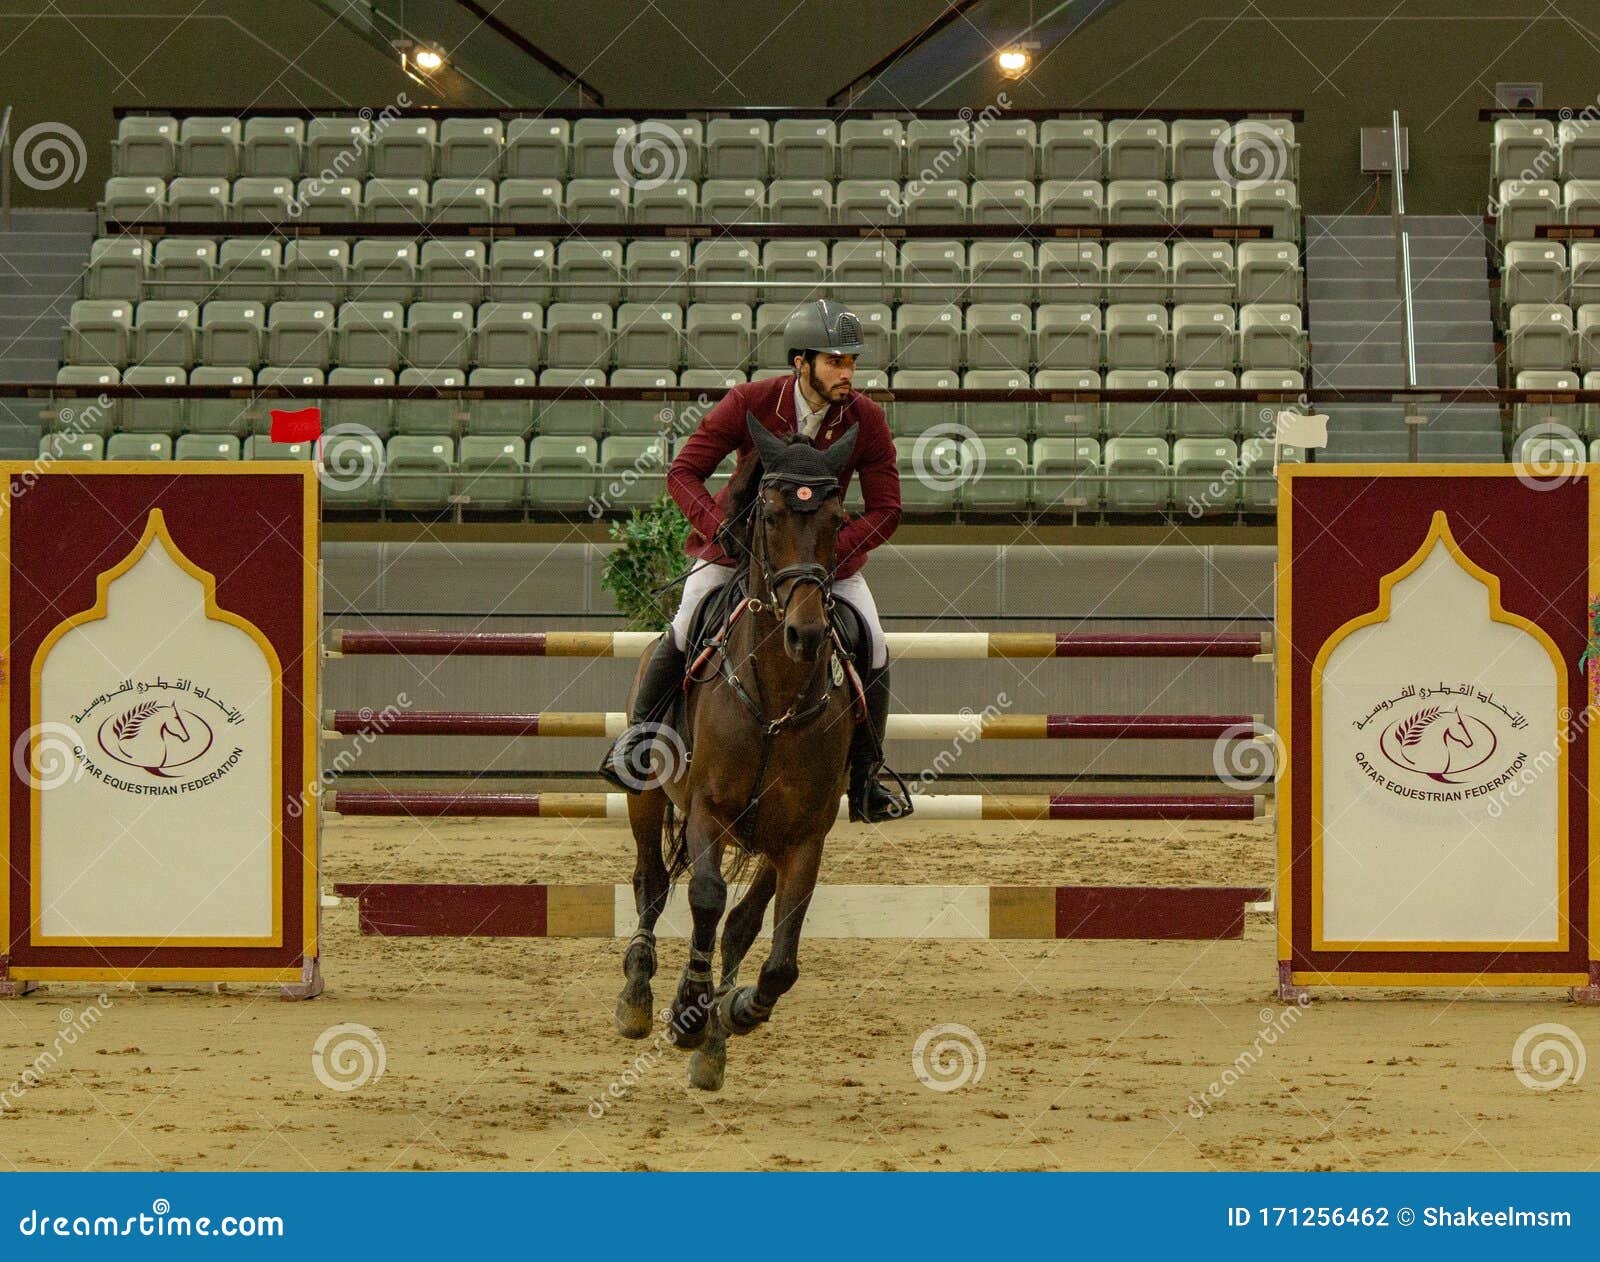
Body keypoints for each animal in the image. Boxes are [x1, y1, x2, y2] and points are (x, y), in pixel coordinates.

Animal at [613, 414, 862, 1091]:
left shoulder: (803, 838)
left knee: (737, 925)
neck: (774, 697)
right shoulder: (708, 810)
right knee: (652, 882)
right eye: (768, 517)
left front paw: (733, 1014)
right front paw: (689, 1011)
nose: (806, 633)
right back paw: (639, 995)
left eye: (838, 521)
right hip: (649, 797)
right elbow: (704, 896)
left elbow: (772, 954)